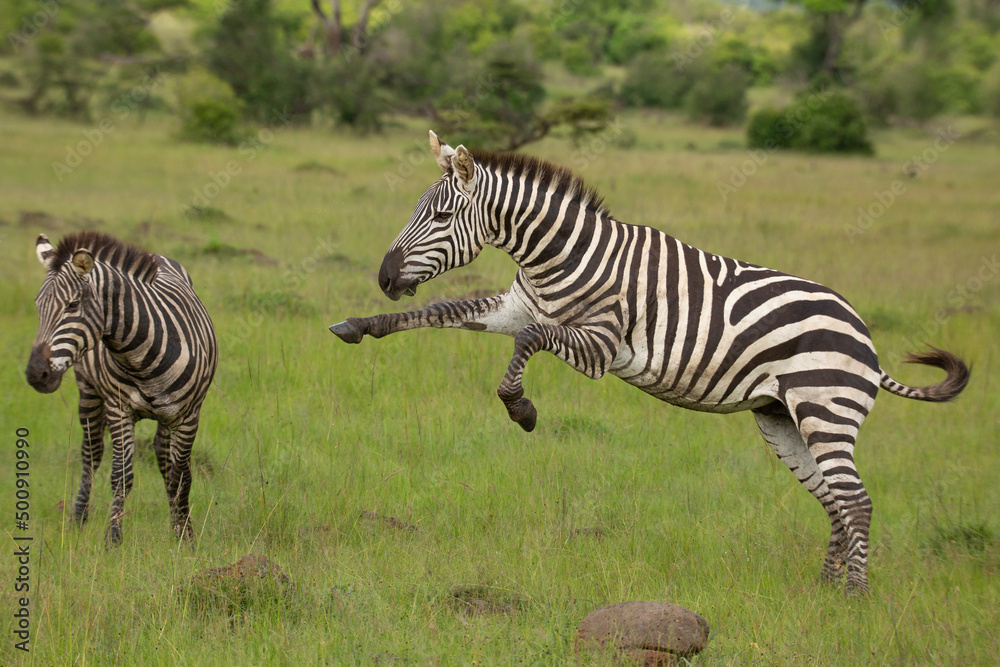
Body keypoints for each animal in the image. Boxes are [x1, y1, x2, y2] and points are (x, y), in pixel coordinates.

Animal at [25, 231, 218, 547]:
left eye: (72, 305)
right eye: (38, 307)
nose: (35, 375)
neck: (141, 356)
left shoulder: (189, 415)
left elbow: (181, 477)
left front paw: (184, 535)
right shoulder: (119, 410)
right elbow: (121, 476)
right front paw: (113, 538)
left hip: (166, 416)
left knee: (163, 458)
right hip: (88, 390)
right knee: (91, 454)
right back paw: (78, 520)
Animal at [329, 132, 970, 594]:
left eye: (439, 217)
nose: (384, 277)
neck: (556, 256)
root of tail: (865, 337)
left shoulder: (598, 345)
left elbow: (529, 341)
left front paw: (522, 409)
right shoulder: (515, 306)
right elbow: (437, 311)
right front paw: (358, 325)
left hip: (824, 408)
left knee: (856, 501)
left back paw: (855, 596)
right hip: (781, 418)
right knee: (835, 501)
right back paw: (825, 590)